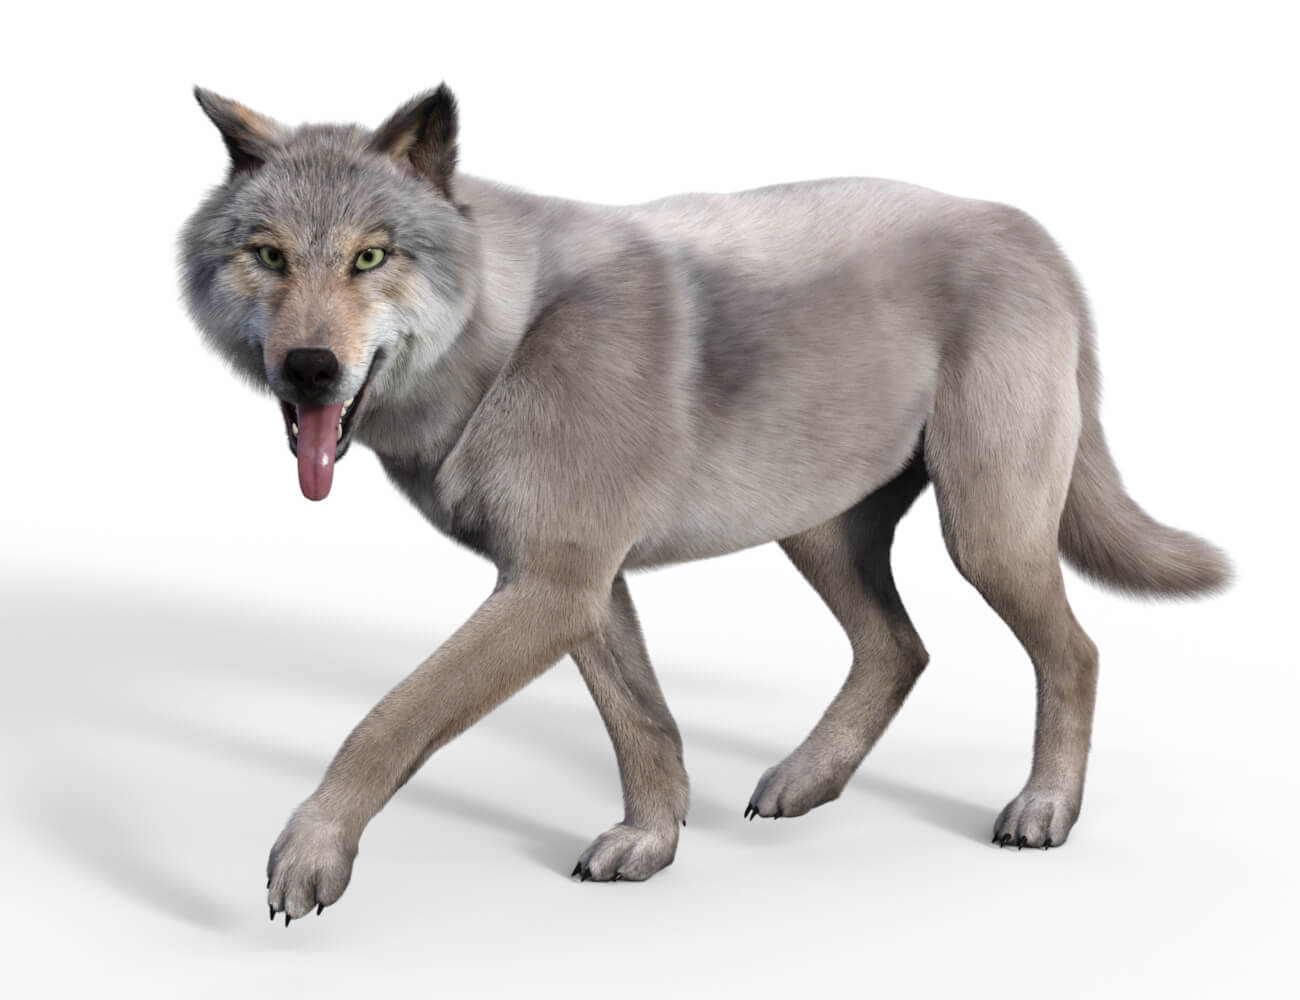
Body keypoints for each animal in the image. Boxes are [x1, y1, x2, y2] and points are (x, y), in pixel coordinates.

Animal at [181, 85, 1229, 923]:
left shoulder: (552, 588)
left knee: (1074, 653)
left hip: (985, 535)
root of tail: (1030, 230)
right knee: (901, 648)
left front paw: (311, 854)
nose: (309, 369)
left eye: (370, 258)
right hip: (817, 530)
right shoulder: (572, 588)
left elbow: (390, 719)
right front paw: (651, 844)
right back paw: (808, 780)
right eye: (269, 255)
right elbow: (644, 723)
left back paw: (1043, 809)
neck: (508, 336)